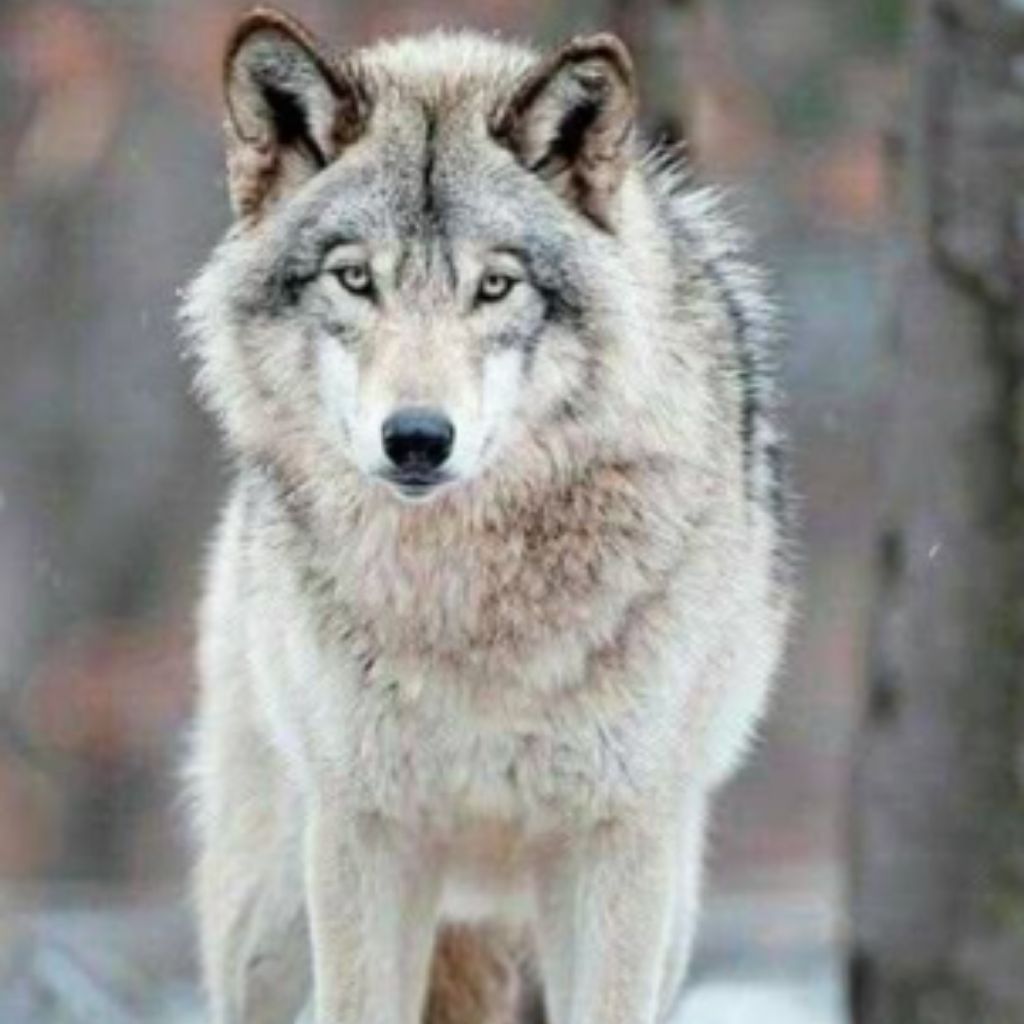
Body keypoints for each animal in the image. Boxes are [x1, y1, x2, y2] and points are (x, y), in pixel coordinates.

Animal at [182, 7, 792, 1024]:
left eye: (495, 286)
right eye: (356, 280)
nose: (417, 439)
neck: (466, 603)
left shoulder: (614, 848)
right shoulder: (365, 838)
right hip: (270, 923)